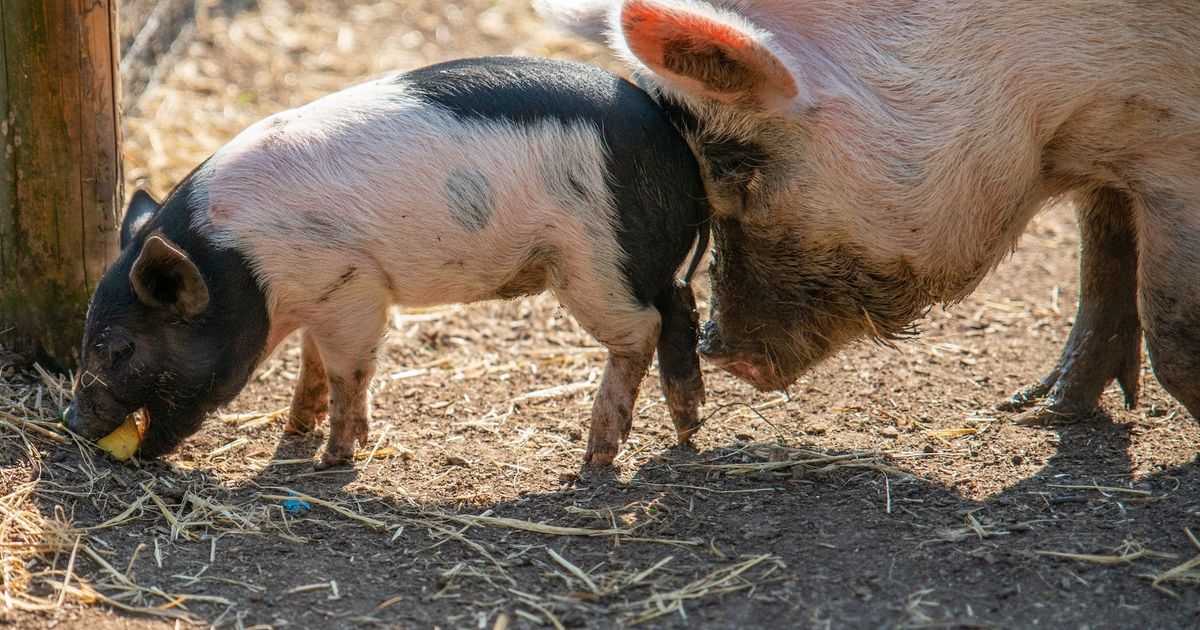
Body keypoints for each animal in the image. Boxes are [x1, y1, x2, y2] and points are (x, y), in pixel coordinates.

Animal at [67, 56, 711, 468]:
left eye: (120, 348)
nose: (71, 420)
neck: (243, 268)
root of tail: (677, 152)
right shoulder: (321, 294)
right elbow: (314, 362)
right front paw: (294, 429)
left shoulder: (351, 284)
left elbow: (348, 370)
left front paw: (330, 459)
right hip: (642, 265)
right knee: (681, 308)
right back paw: (687, 430)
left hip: (595, 260)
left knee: (642, 328)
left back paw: (597, 458)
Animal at [537, 0, 1200, 424]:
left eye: (729, 166)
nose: (715, 349)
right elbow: (1103, 255)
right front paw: (1039, 414)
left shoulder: (1171, 157)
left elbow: (1173, 333)